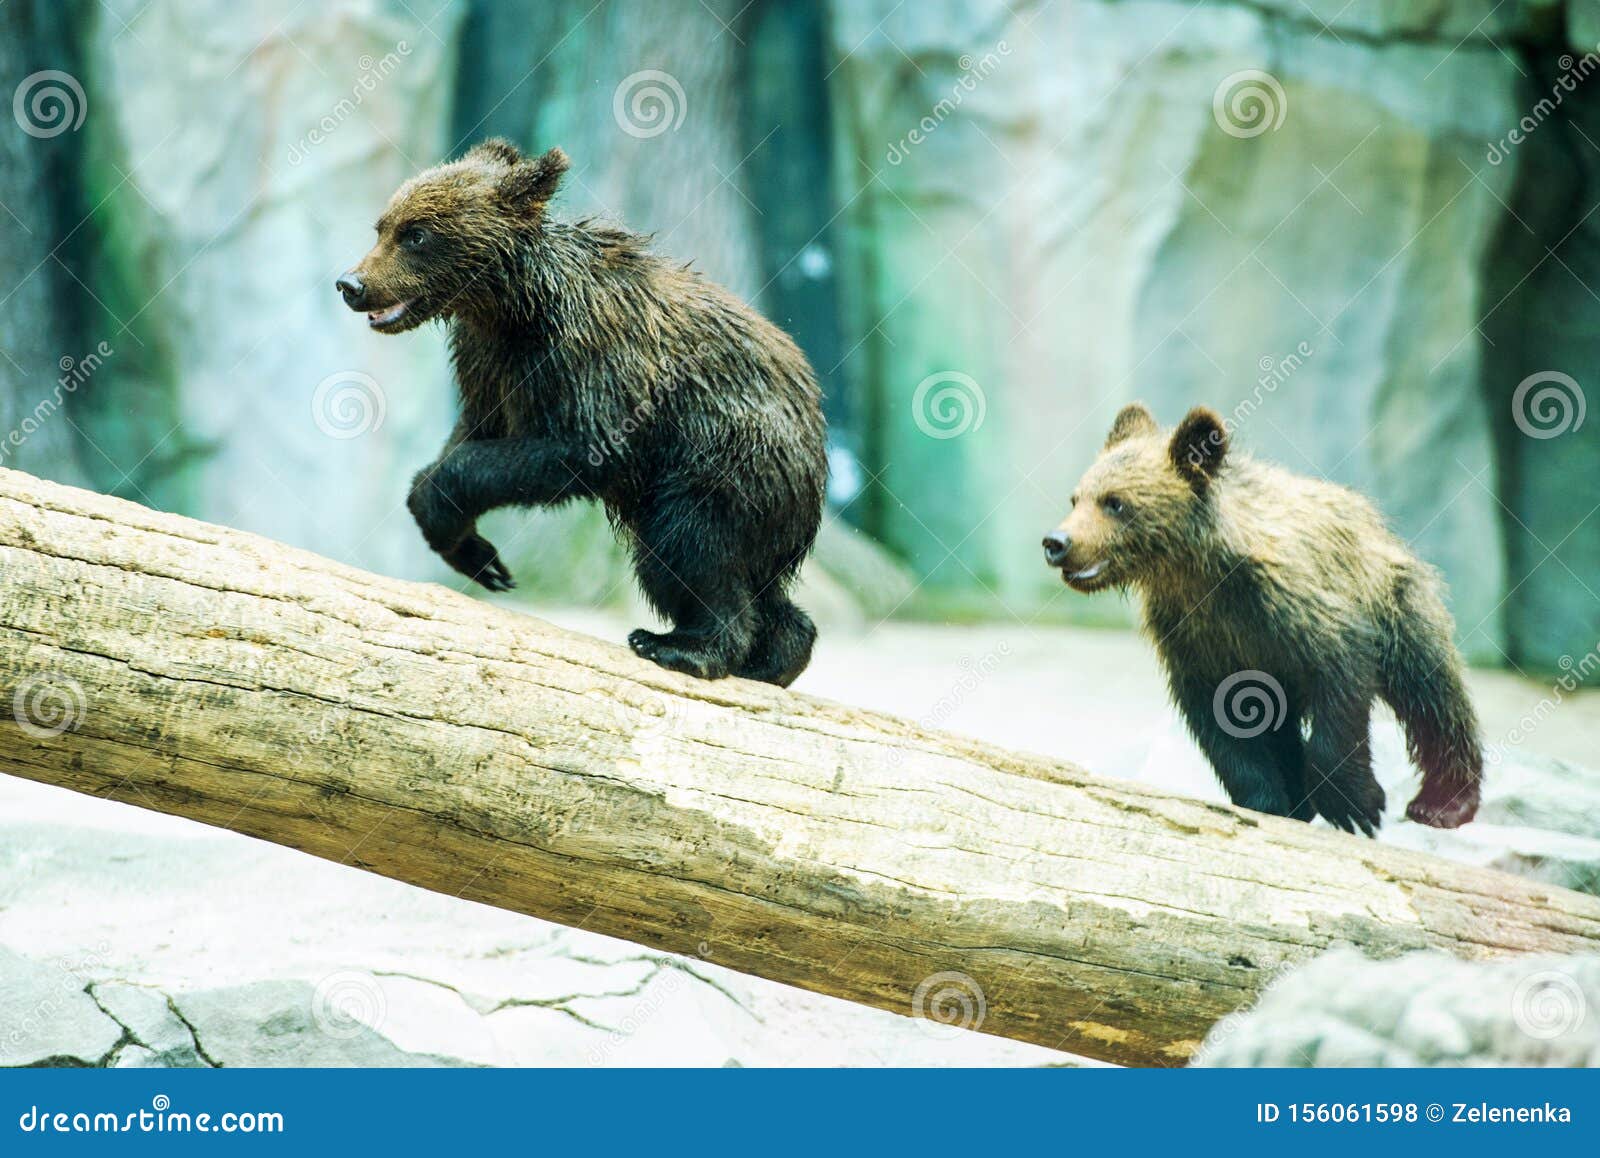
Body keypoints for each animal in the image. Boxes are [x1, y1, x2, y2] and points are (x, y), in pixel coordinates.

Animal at [336, 140, 827, 686]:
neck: (511, 305)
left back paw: (683, 646)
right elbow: (474, 430)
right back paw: (776, 657)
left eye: (416, 234)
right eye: (383, 226)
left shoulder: (589, 357)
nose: (351, 284)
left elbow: (578, 448)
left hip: (724, 459)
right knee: (751, 582)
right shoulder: (486, 360)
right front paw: (473, 550)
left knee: (687, 545)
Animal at [1041, 403, 1482, 835]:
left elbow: (1340, 679)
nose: (1056, 542)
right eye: (1076, 498)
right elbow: (1223, 724)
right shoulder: (1194, 635)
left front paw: (1355, 804)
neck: (1200, 572)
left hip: (1395, 601)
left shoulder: (1298, 606)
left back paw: (1444, 801)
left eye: (1115, 502)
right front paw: (1268, 801)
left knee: (1431, 691)